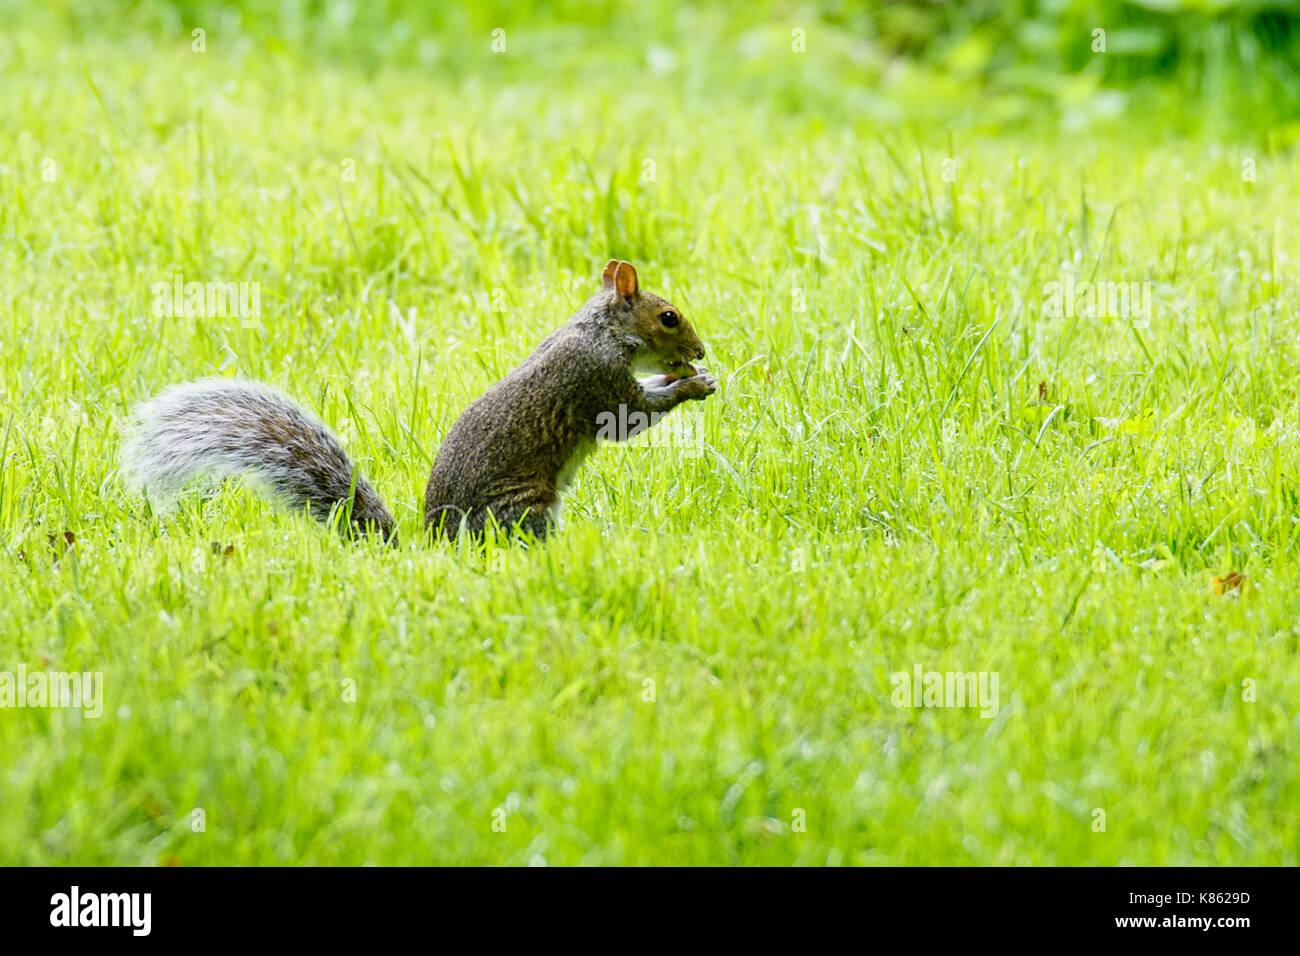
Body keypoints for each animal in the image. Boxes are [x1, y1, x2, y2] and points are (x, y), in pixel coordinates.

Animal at [122, 260, 718, 543]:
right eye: (669, 317)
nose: (700, 350)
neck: (602, 331)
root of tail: (437, 546)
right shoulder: (595, 381)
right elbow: (631, 416)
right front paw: (693, 385)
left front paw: (692, 375)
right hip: (525, 508)